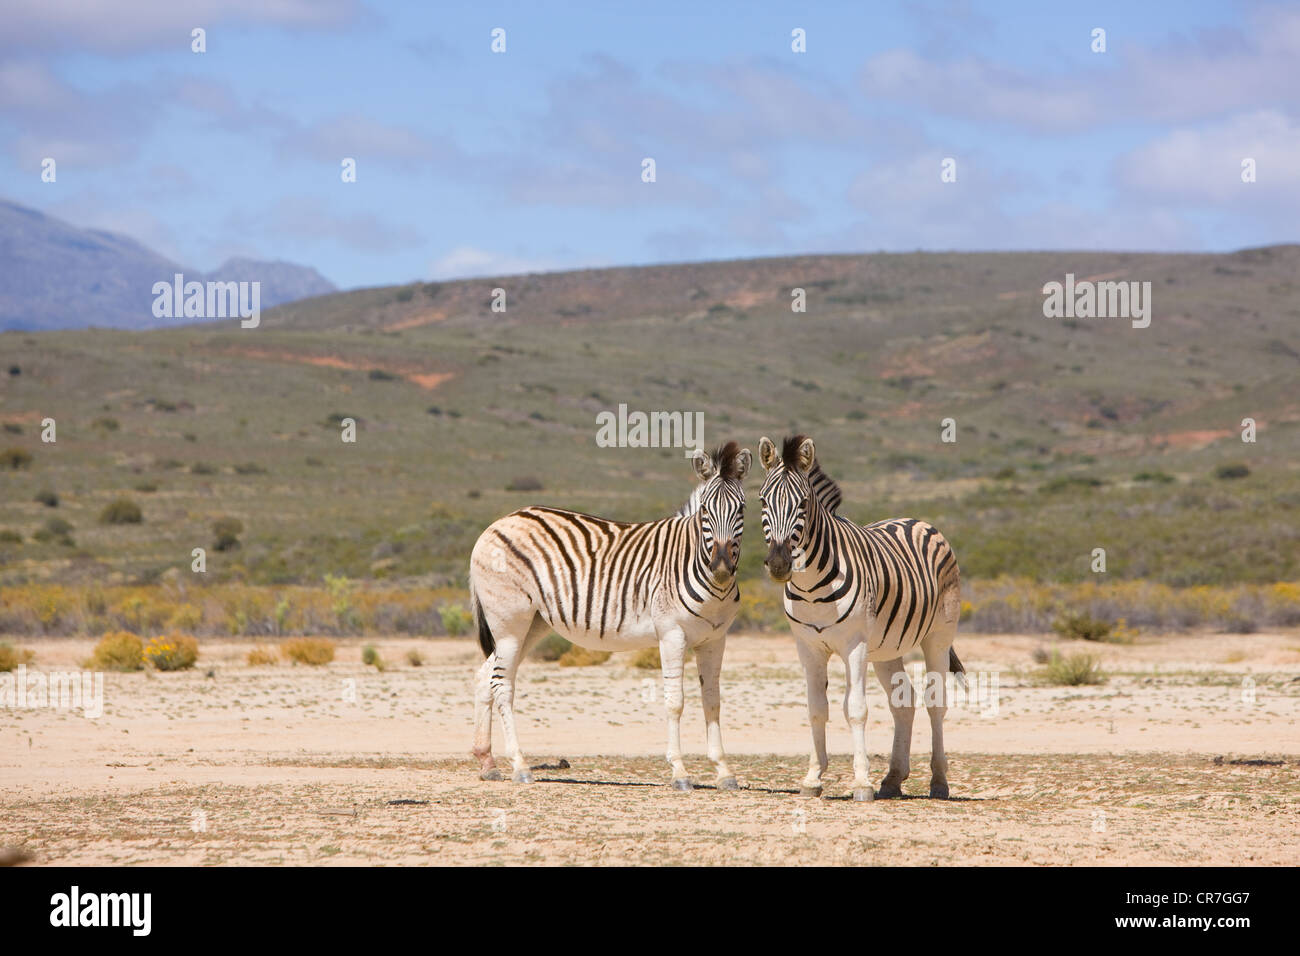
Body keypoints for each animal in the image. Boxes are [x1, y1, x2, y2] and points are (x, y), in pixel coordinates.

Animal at [469, 441, 752, 790]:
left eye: (741, 510)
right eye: (705, 513)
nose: (722, 567)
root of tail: (497, 524)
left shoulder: (715, 639)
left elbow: (712, 701)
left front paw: (724, 771)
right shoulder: (671, 634)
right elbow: (675, 701)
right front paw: (680, 772)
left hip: (531, 625)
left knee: (485, 677)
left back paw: (487, 762)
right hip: (509, 624)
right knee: (502, 685)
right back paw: (520, 766)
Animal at [757, 434, 963, 802]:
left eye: (803, 503)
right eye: (763, 500)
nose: (779, 564)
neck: (812, 585)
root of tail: (916, 521)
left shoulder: (854, 646)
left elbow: (855, 709)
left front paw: (861, 783)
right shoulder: (808, 647)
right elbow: (816, 709)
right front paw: (812, 779)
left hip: (937, 637)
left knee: (935, 702)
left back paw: (939, 782)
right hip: (886, 648)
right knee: (904, 703)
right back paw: (893, 779)